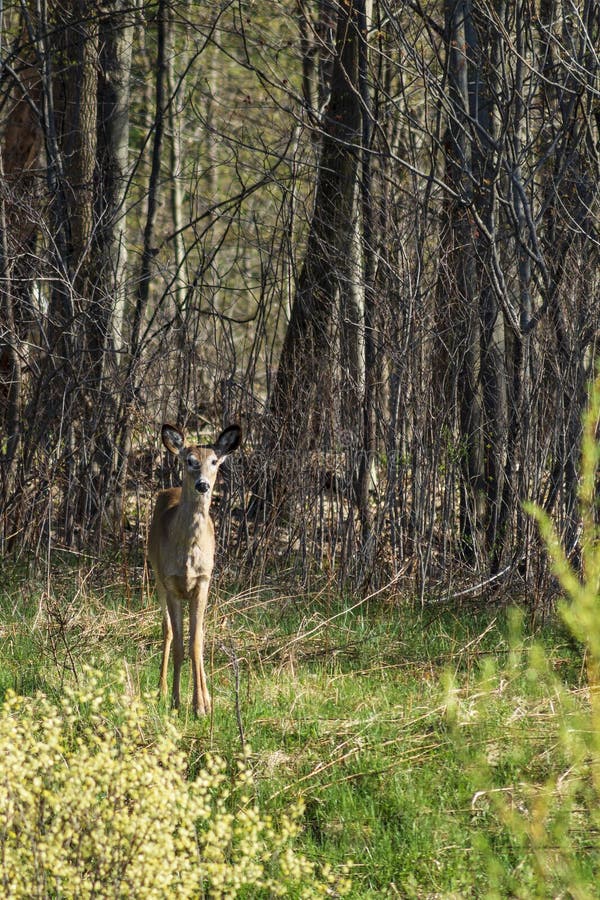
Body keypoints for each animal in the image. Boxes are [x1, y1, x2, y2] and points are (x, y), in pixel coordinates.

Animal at [148, 422, 242, 716]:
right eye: (189, 460)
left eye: (214, 461)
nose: (203, 484)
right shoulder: (171, 583)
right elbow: (179, 644)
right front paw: (177, 702)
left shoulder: (203, 582)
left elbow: (196, 643)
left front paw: (201, 705)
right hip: (156, 577)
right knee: (166, 629)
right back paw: (161, 690)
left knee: (198, 635)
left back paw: (206, 698)